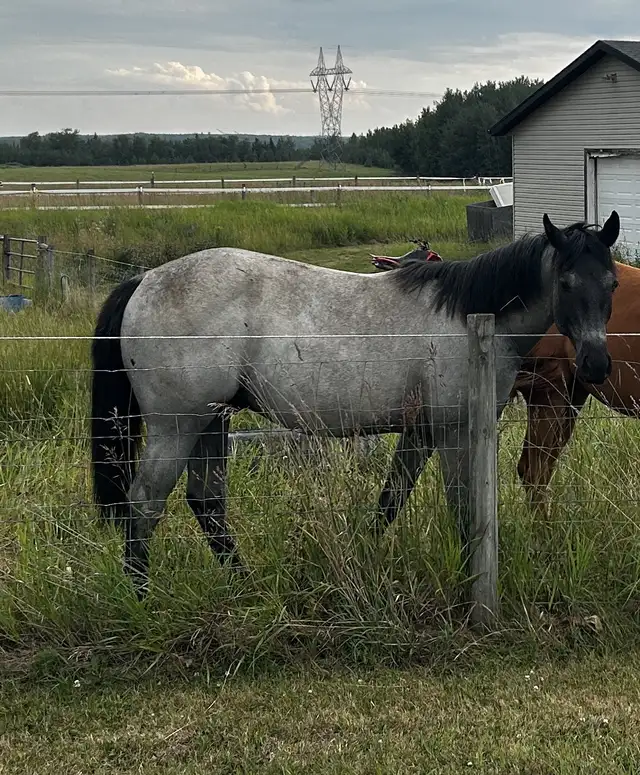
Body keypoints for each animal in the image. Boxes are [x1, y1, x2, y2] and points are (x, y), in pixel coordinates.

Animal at [90, 212, 620, 595]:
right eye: (567, 283)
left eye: (612, 284)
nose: (596, 363)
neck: (471, 318)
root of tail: (144, 280)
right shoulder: (452, 431)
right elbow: (463, 507)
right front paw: (471, 578)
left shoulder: (420, 432)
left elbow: (391, 499)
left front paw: (367, 557)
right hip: (177, 425)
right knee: (145, 503)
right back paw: (142, 596)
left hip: (211, 423)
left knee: (207, 502)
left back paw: (247, 587)